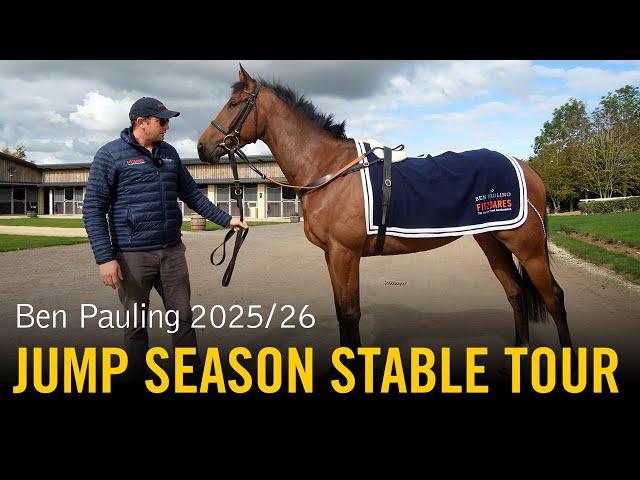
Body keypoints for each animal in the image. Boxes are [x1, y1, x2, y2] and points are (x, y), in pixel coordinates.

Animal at [197, 63, 578, 381]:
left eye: (233, 103)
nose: (203, 147)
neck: (329, 168)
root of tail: (526, 167)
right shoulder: (332, 256)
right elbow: (341, 310)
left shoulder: (345, 254)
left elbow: (350, 313)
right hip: (492, 241)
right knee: (515, 293)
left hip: (526, 245)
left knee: (555, 297)